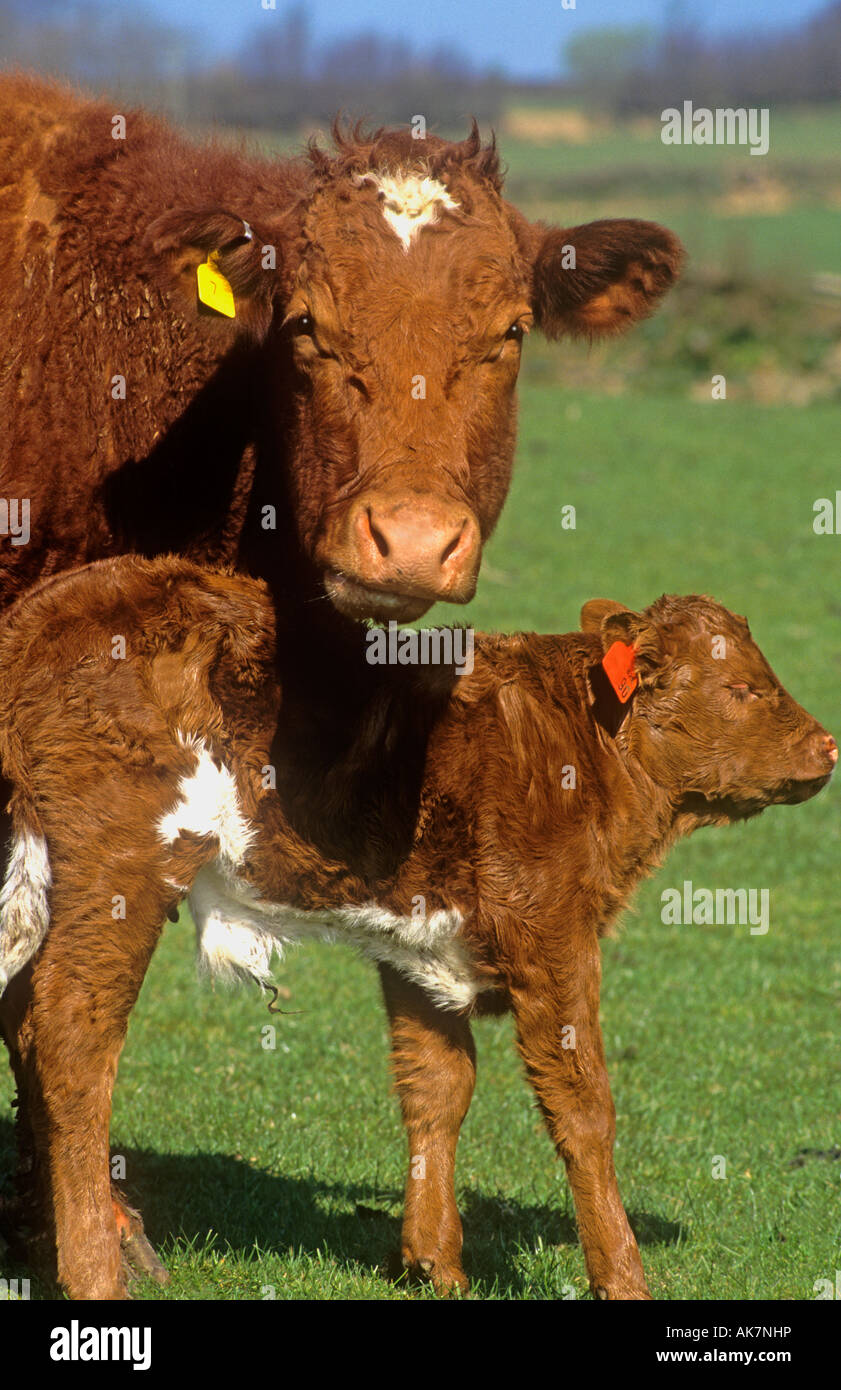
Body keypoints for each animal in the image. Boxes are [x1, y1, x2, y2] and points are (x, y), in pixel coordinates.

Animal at [0, 555, 834, 1299]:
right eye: (742, 688)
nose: (826, 745)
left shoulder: (420, 944)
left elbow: (437, 1085)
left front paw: (436, 1263)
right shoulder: (551, 935)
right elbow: (583, 1108)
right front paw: (622, 1277)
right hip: (120, 869)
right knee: (73, 1036)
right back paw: (95, 1272)